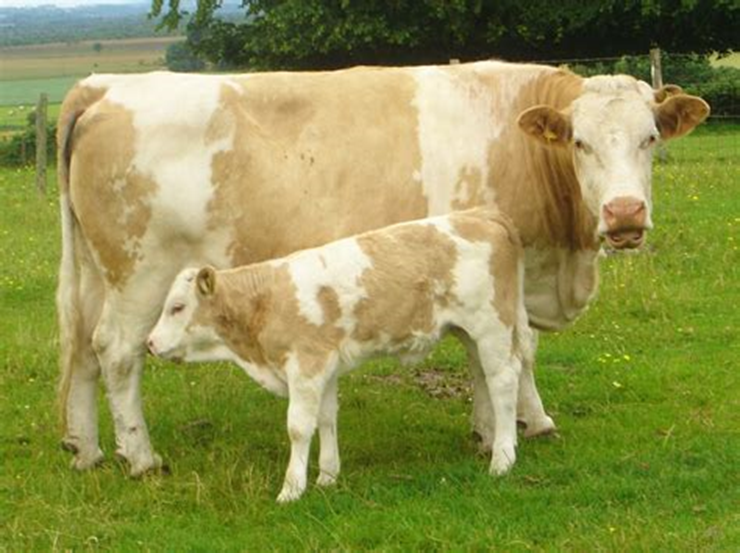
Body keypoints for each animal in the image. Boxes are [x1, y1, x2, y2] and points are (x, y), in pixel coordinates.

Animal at [147, 208, 531, 501]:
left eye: (177, 307)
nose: (150, 343)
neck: (267, 301)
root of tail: (482, 214)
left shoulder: (305, 364)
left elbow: (299, 427)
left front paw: (291, 490)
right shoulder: (325, 366)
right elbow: (326, 419)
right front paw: (327, 477)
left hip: (491, 326)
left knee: (503, 381)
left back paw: (502, 459)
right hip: (470, 333)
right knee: (484, 376)